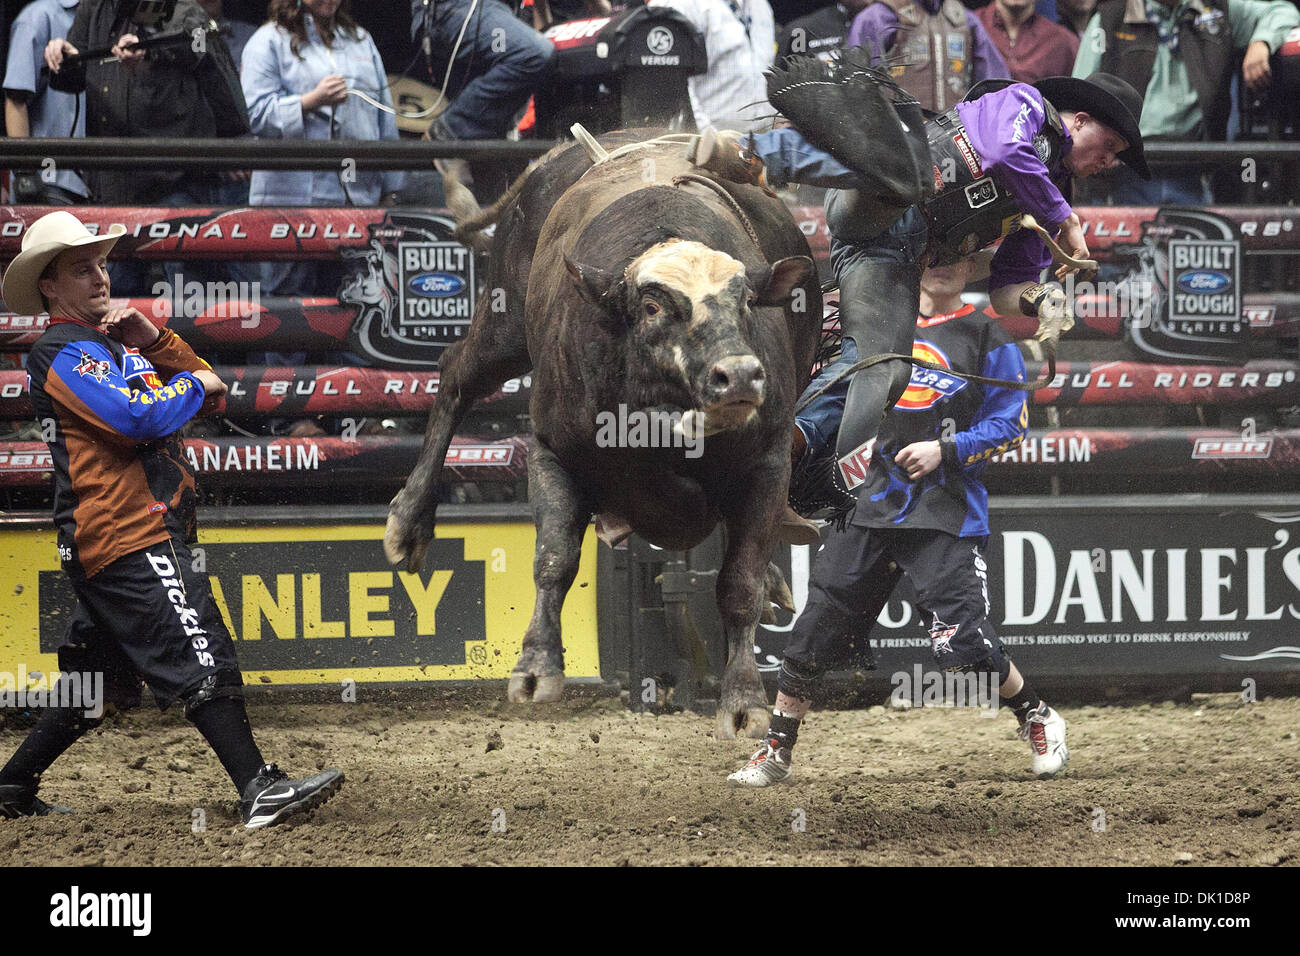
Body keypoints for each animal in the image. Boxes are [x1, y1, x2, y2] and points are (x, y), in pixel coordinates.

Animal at [384, 130, 820, 738]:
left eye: (748, 302)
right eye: (653, 305)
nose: (740, 375)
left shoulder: (768, 462)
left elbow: (740, 582)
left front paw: (743, 700)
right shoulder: (551, 451)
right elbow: (555, 557)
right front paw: (536, 667)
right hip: (504, 322)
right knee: (456, 375)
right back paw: (408, 522)